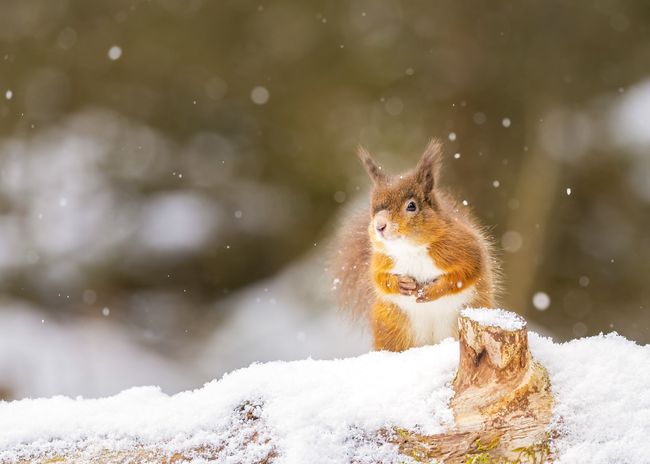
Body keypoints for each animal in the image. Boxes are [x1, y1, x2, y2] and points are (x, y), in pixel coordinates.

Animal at [331, 139, 499, 352]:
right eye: (372, 208)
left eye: (411, 206)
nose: (379, 226)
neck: (410, 250)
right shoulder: (381, 261)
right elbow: (378, 279)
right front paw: (401, 284)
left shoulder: (464, 248)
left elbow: (467, 272)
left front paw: (432, 291)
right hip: (393, 327)